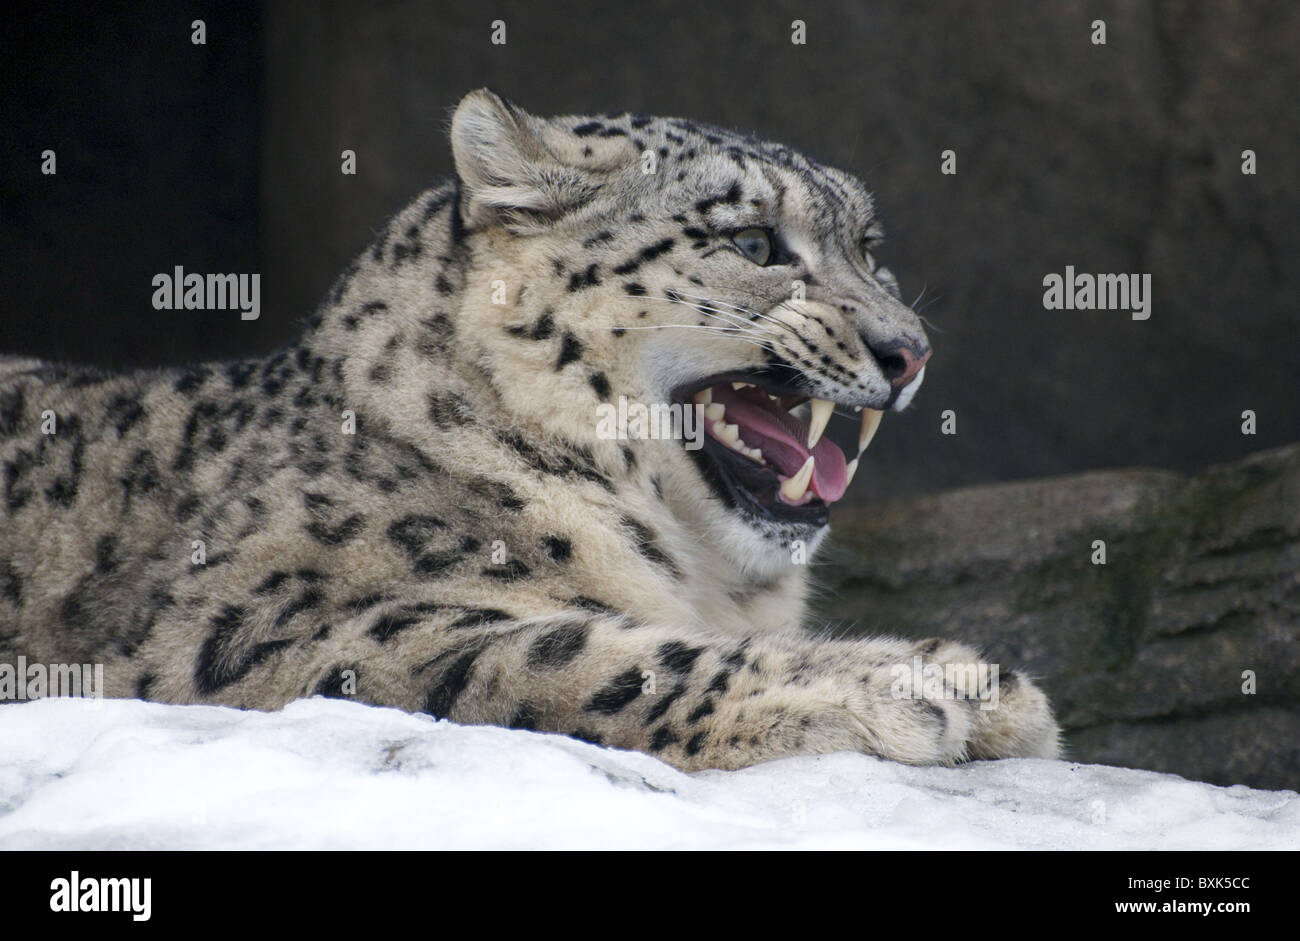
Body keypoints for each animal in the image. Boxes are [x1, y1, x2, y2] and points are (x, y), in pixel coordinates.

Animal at [0, 90, 1059, 771]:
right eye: (754, 241)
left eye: (869, 249)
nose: (910, 349)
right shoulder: (245, 629)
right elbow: (580, 657)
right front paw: (921, 680)